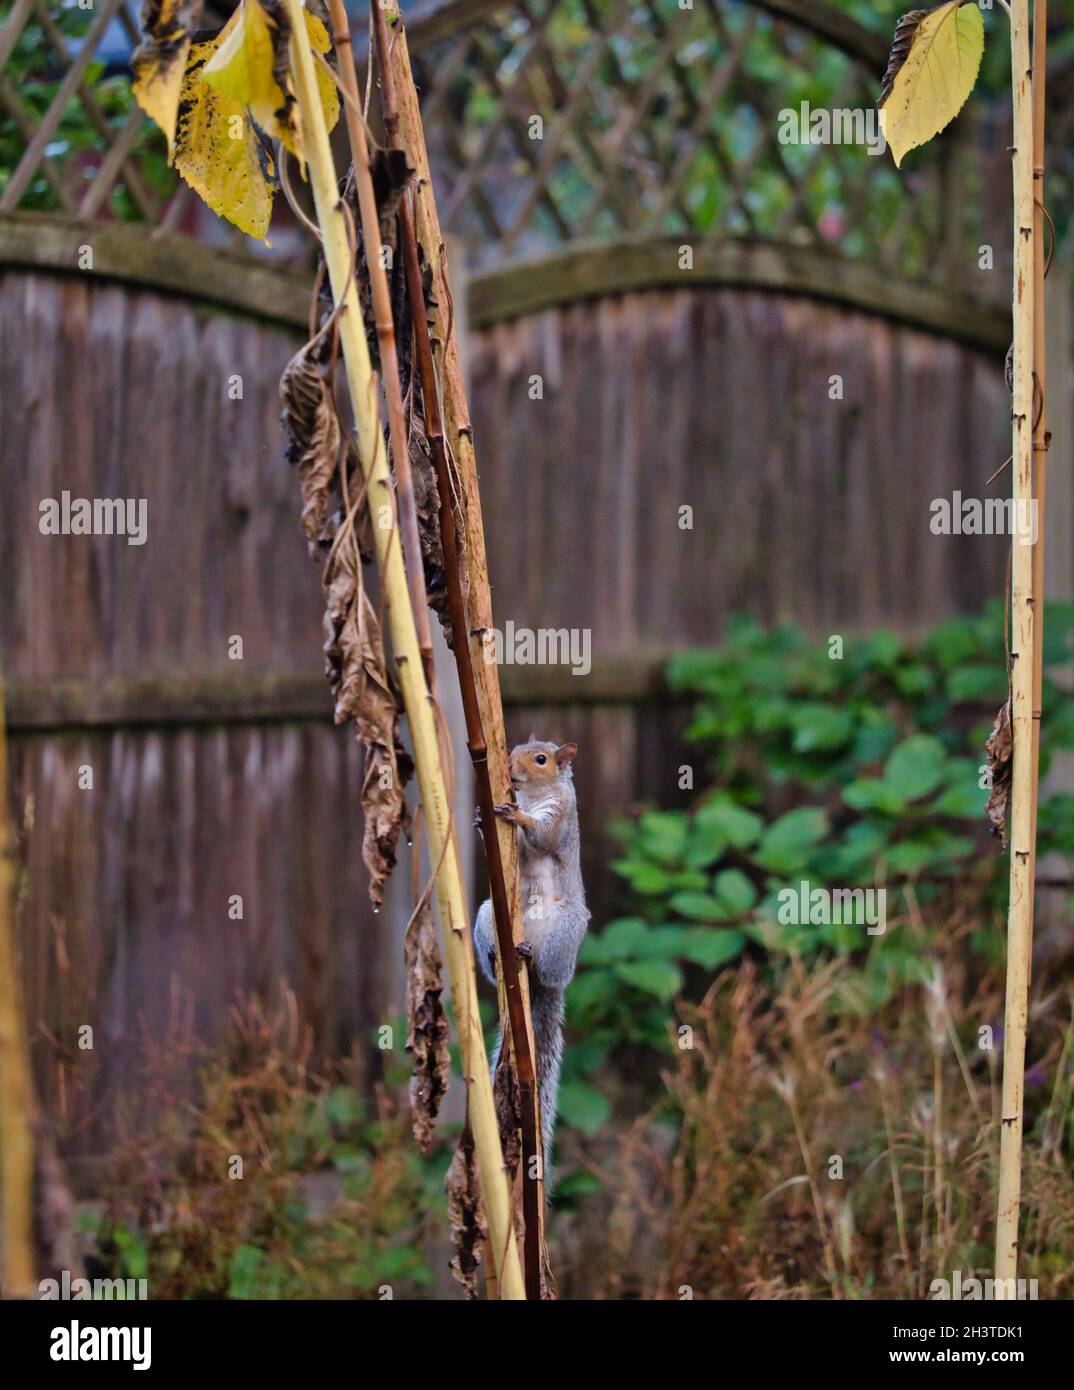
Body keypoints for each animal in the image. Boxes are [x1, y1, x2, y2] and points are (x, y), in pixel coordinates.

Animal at [473, 736, 590, 1174]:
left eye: (541, 759)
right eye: (516, 748)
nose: (508, 766)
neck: (537, 794)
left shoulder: (563, 814)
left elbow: (544, 836)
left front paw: (517, 815)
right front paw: (481, 818)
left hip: (564, 934)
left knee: (548, 969)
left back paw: (530, 956)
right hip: (487, 915)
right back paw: (498, 956)